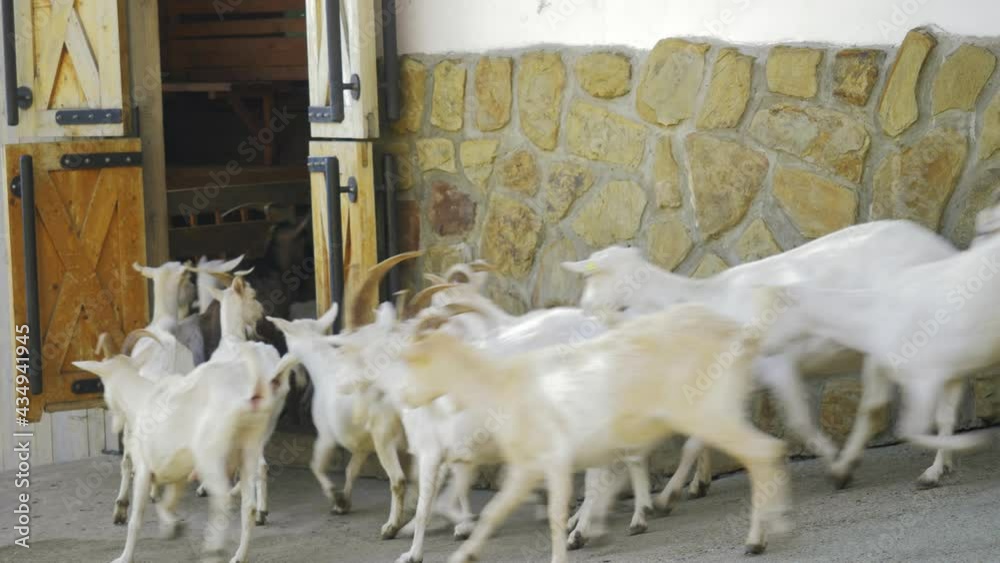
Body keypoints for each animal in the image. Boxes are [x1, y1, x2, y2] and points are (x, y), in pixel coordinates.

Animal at [75, 341, 298, 563]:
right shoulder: (177, 469)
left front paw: (124, 557)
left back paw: (213, 549)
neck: (142, 398)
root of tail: (258, 385)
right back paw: (239, 554)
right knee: (248, 504)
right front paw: (172, 526)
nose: (114, 424)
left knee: (223, 500)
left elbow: (137, 517)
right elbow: (168, 502)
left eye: (101, 385)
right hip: (249, 447)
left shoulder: (144, 468)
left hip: (211, 453)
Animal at [400, 292, 790, 563]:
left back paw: (755, 537)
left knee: (761, 451)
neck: (503, 381)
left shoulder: (552, 460)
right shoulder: (529, 467)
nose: (407, 399)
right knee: (764, 451)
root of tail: (741, 335)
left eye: (415, 358)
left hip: (708, 411)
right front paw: (464, 553)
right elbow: (496, 511)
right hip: (720, 410)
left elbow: (555, 514)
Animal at [563, 219, 957, 491]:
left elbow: (799, 422)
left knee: (884, 406)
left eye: (599, 305)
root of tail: (943, 250)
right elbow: (698, 438)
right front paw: (678, 491)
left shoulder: (776, 364)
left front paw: (833, 466)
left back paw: (917, 468)